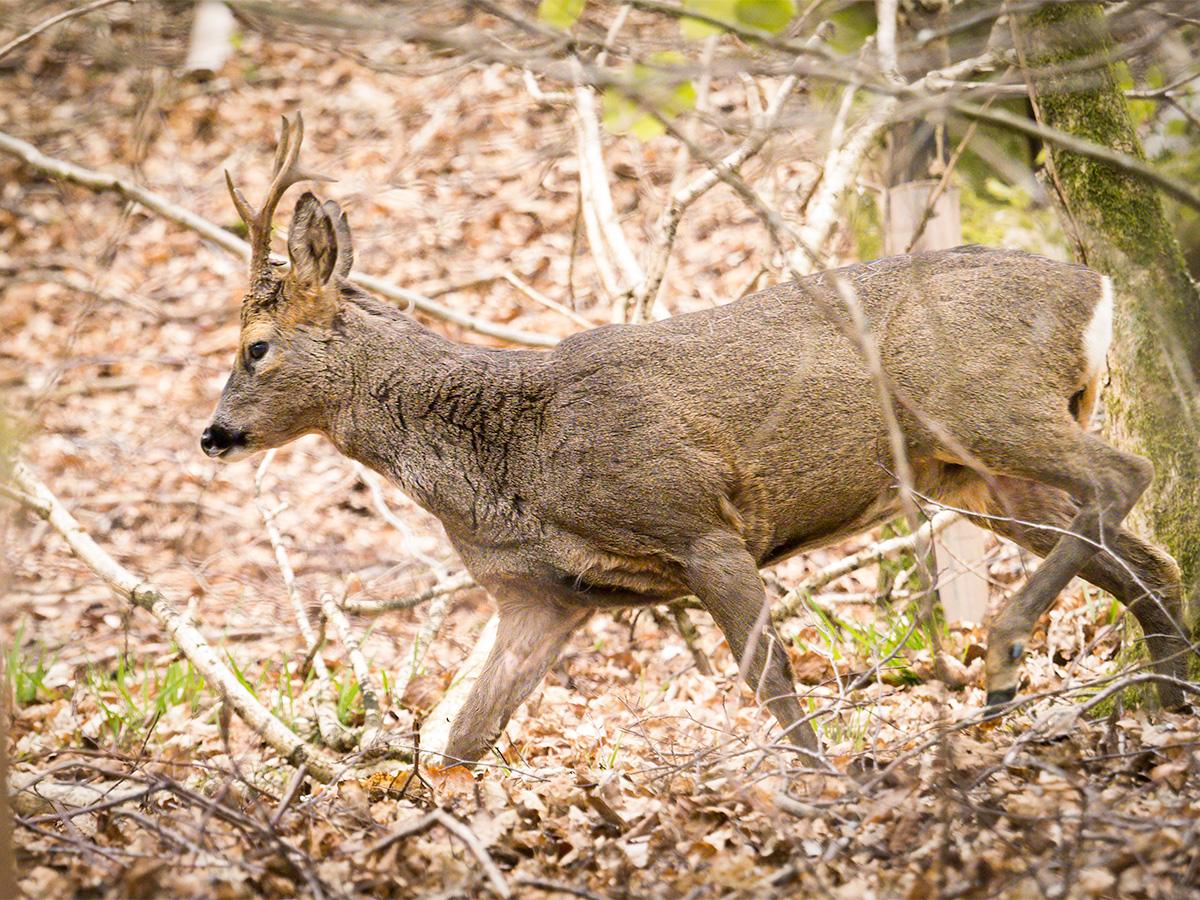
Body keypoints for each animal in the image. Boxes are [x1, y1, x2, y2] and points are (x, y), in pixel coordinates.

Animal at [202, 113, 1191, 766]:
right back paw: (1166, 705)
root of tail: (1094, 288)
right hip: (970, 472)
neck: (514, 454)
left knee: (1126, 476)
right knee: (1142, 553)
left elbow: (770, 677)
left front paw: (827, 784)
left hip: (986, 401)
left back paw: (1010, 658)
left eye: (255, 347)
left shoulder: (698, 520)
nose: (214, 434)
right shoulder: (542, 597)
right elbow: (460, 741)